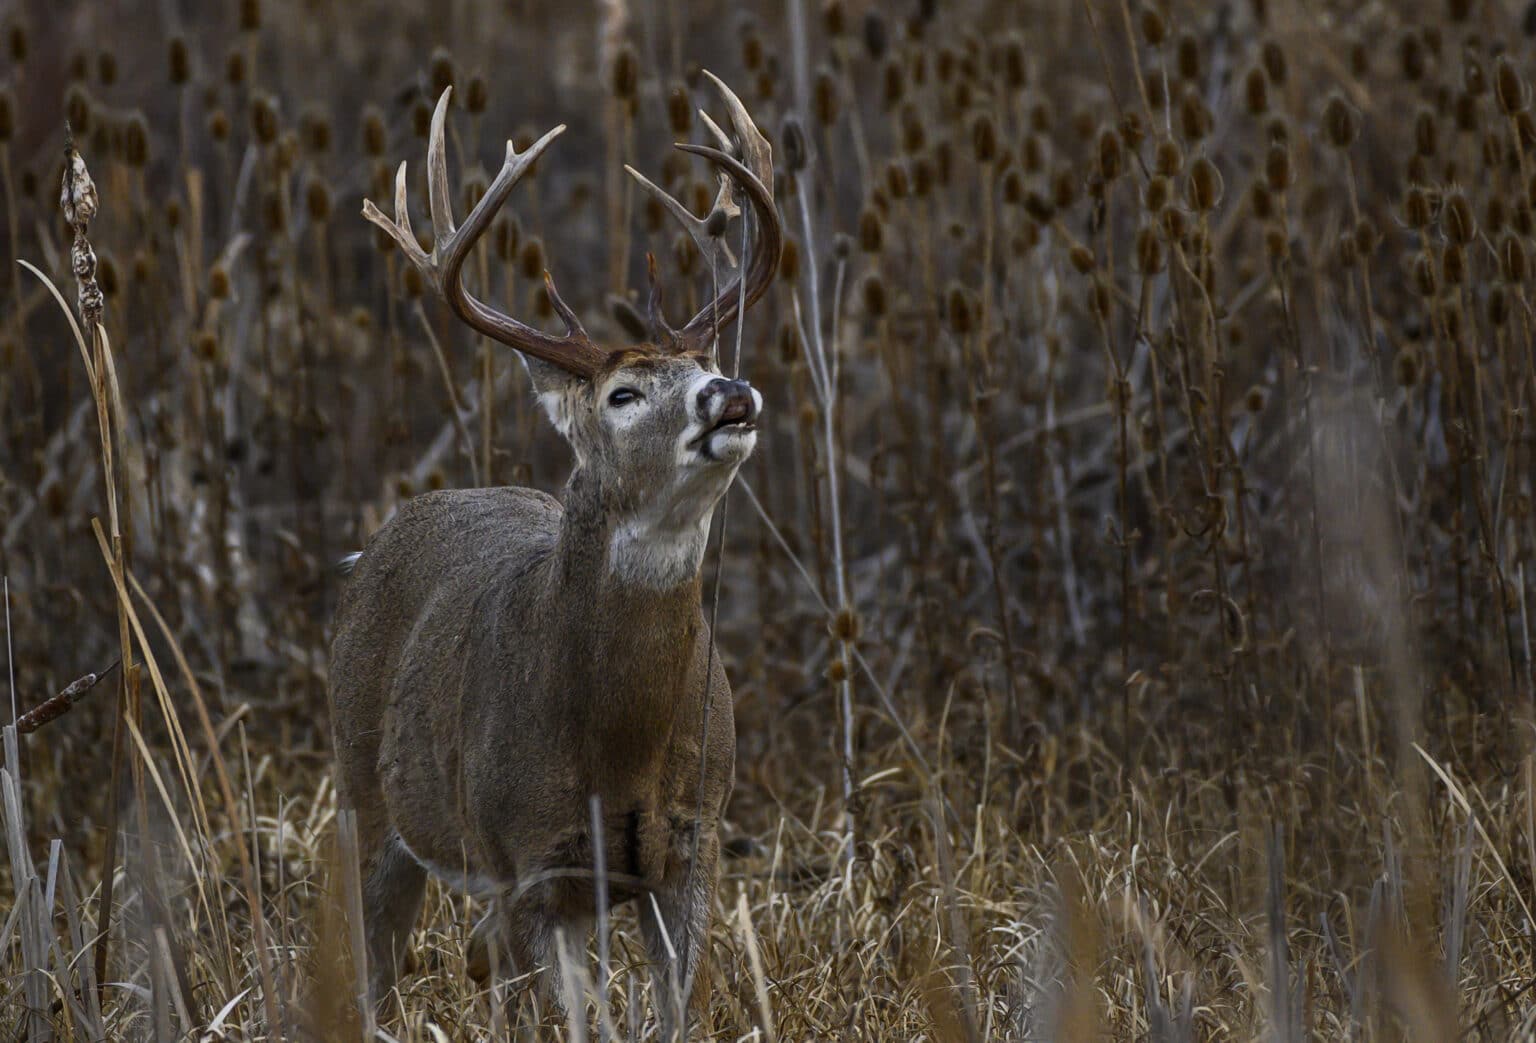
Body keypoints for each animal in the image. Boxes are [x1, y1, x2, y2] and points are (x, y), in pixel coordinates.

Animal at [329, 73, 780, 1037]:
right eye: (623, 393)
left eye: (702, 362)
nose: (730, 392)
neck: (619, 743)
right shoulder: (529, 862)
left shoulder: (694, 843)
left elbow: (676, 1013)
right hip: (368, 797)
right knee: (378, 964)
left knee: (469, 958)